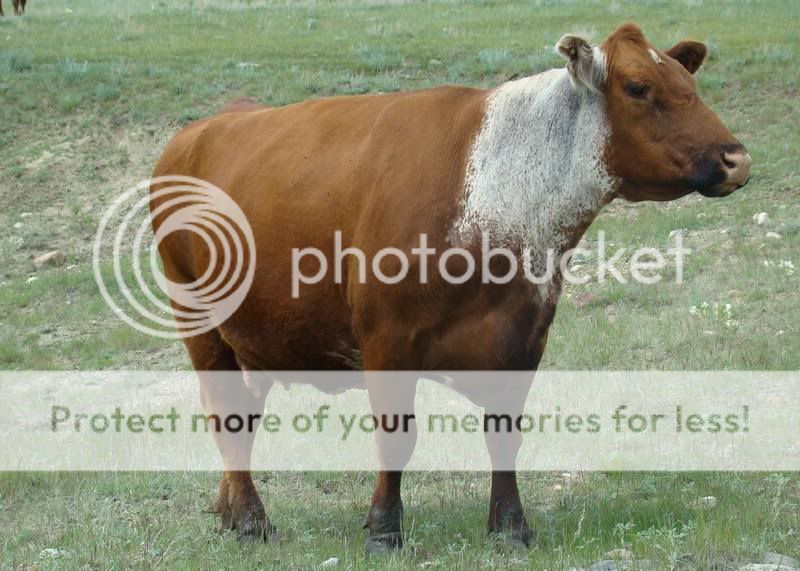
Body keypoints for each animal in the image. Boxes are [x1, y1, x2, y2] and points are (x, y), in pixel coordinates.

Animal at [151, 23, 751, 550]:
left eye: (689, 83)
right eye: (638, 87)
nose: (736, 158)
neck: (498, 207)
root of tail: (199, 131)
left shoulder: (524, 339)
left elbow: (505, 434)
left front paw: (511, 528)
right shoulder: (386, 341)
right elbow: (397, 437)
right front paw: (384, 530)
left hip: (258, 337)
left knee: (243, 416)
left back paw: (230, 512)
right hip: (200, 324)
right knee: (227, 416)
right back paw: (252, 521)